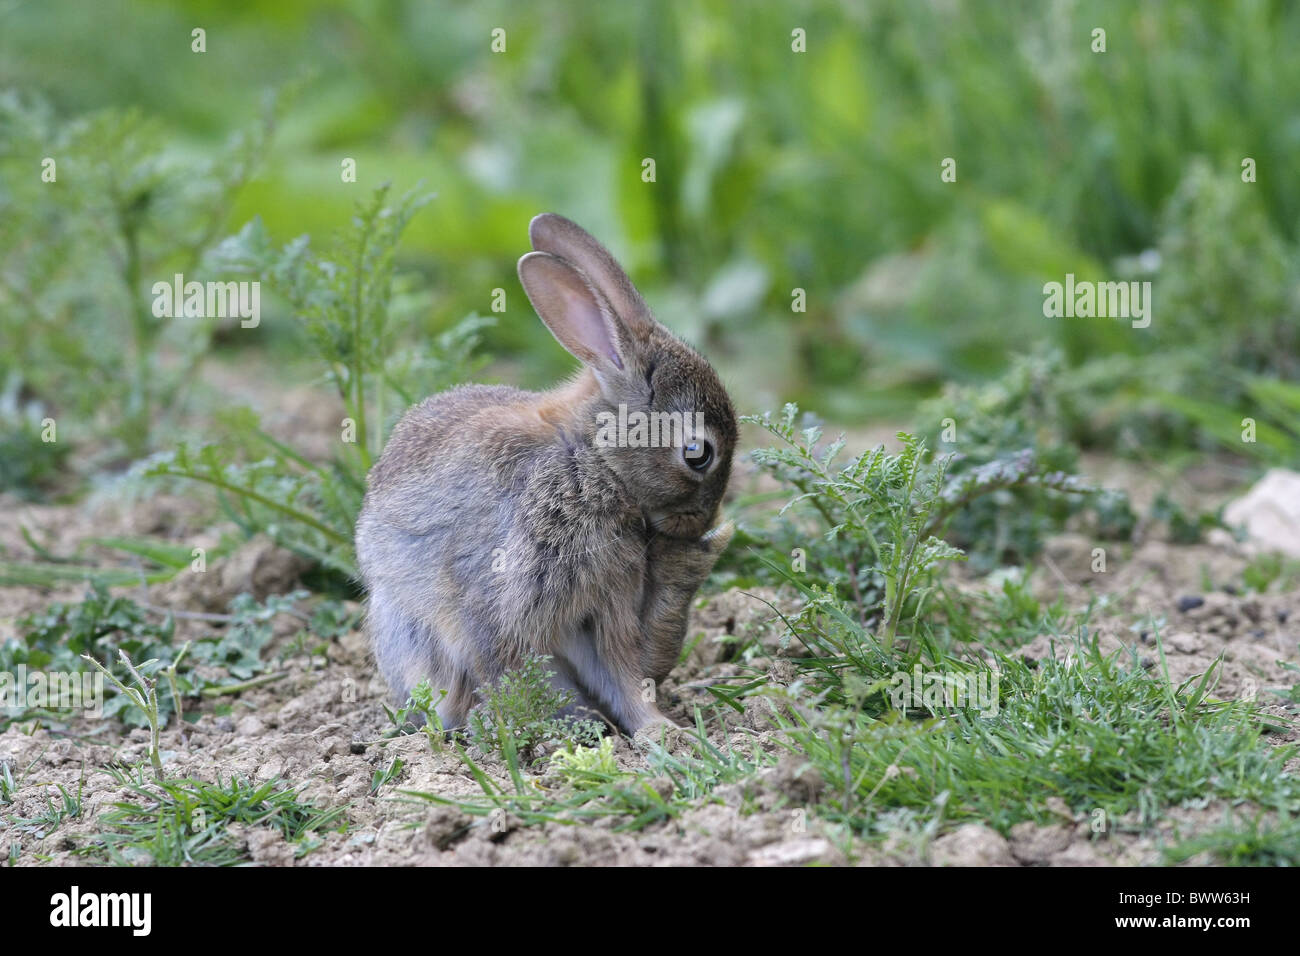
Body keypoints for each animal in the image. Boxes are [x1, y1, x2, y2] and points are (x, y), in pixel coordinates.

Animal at [355, 213, 737, 735]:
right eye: (699, 453)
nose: (702, 521)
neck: (591, 459)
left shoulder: (607, 600)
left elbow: (621, 672)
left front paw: (657, 729)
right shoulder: (503, 594)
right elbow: (513, 670)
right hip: (406, 627)